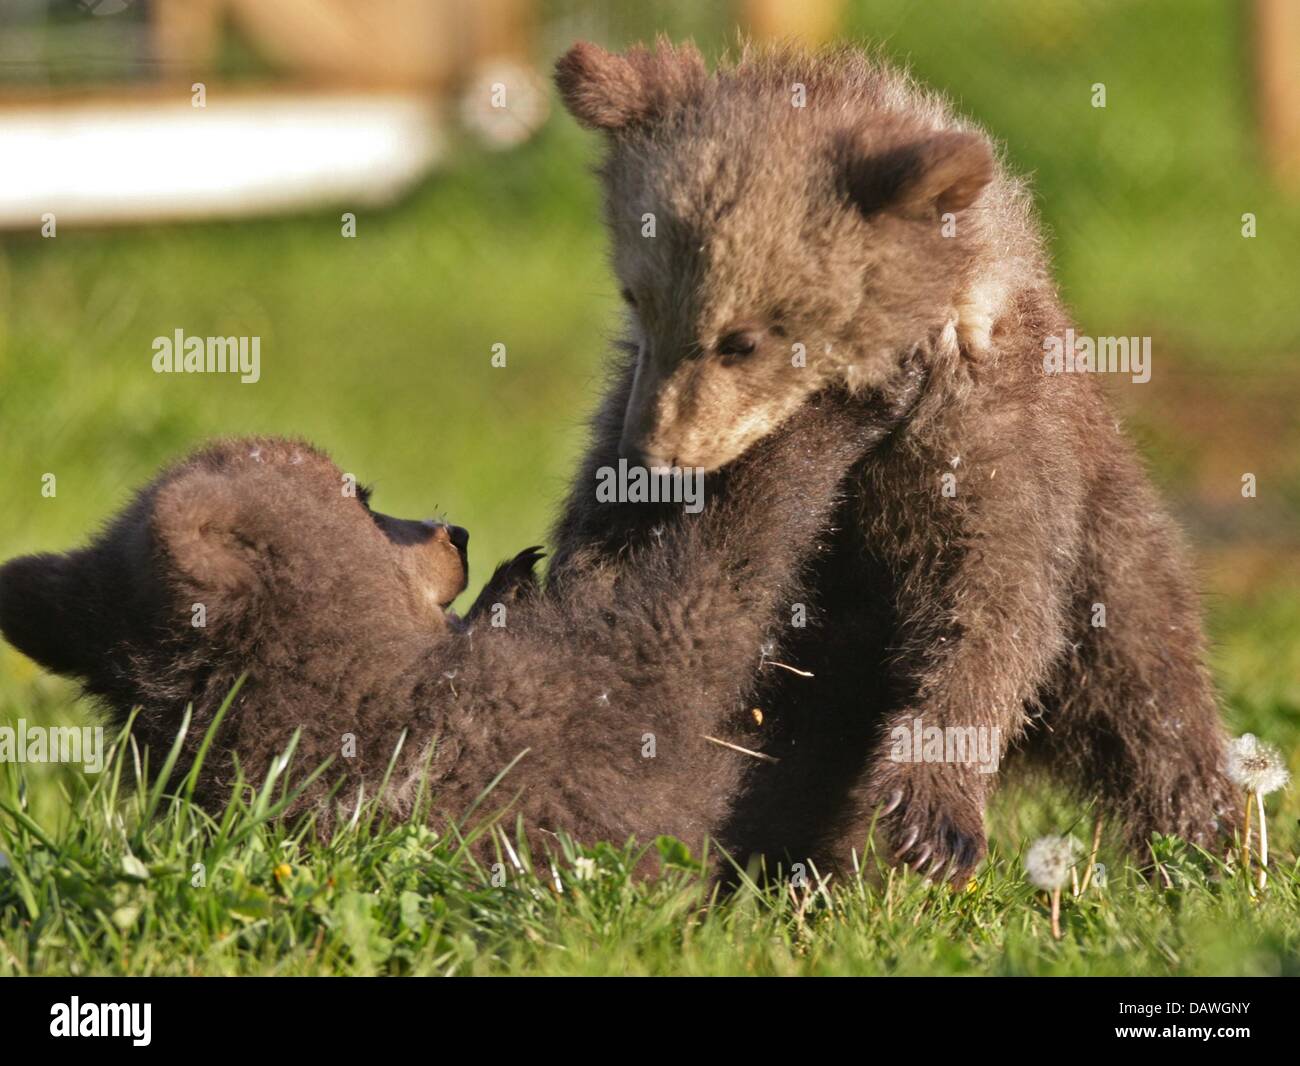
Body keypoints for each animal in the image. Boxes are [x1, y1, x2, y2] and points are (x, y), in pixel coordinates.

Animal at [547, 39, 1239, 884]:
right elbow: (618, 556)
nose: (656, 458)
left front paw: (933, 818)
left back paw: (1208, 843)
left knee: (1149, 697)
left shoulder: (990, 443)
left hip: (1116, 561)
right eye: (636, 297)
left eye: (743, 338)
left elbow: (992, 609)